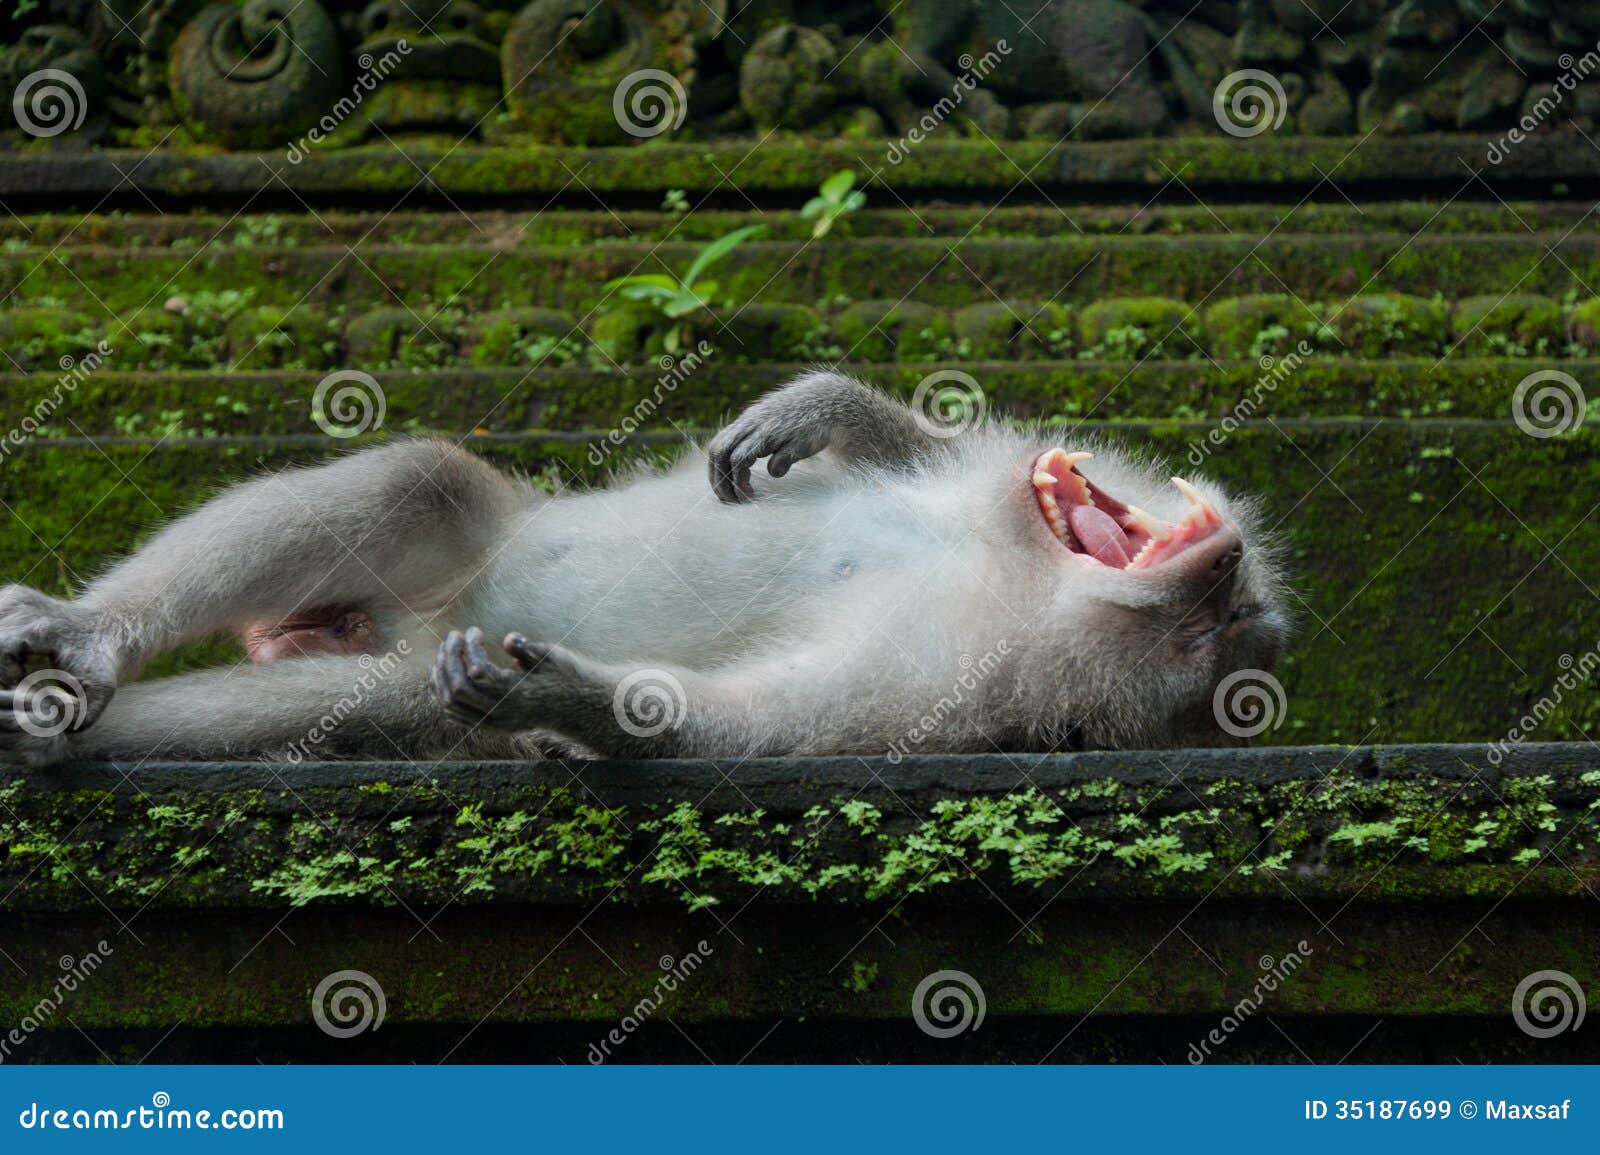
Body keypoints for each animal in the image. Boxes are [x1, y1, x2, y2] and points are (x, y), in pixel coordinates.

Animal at [0, 371, 1289, 768]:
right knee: (417, 484)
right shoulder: (978, 496)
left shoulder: (950, 697)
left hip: (403, 670)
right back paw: (87, 635)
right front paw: (829, 410)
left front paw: (569, 704)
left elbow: (748, 728)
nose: (1229, 574)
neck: (1015, 579)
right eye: (1238, 608)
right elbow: (923, 450)